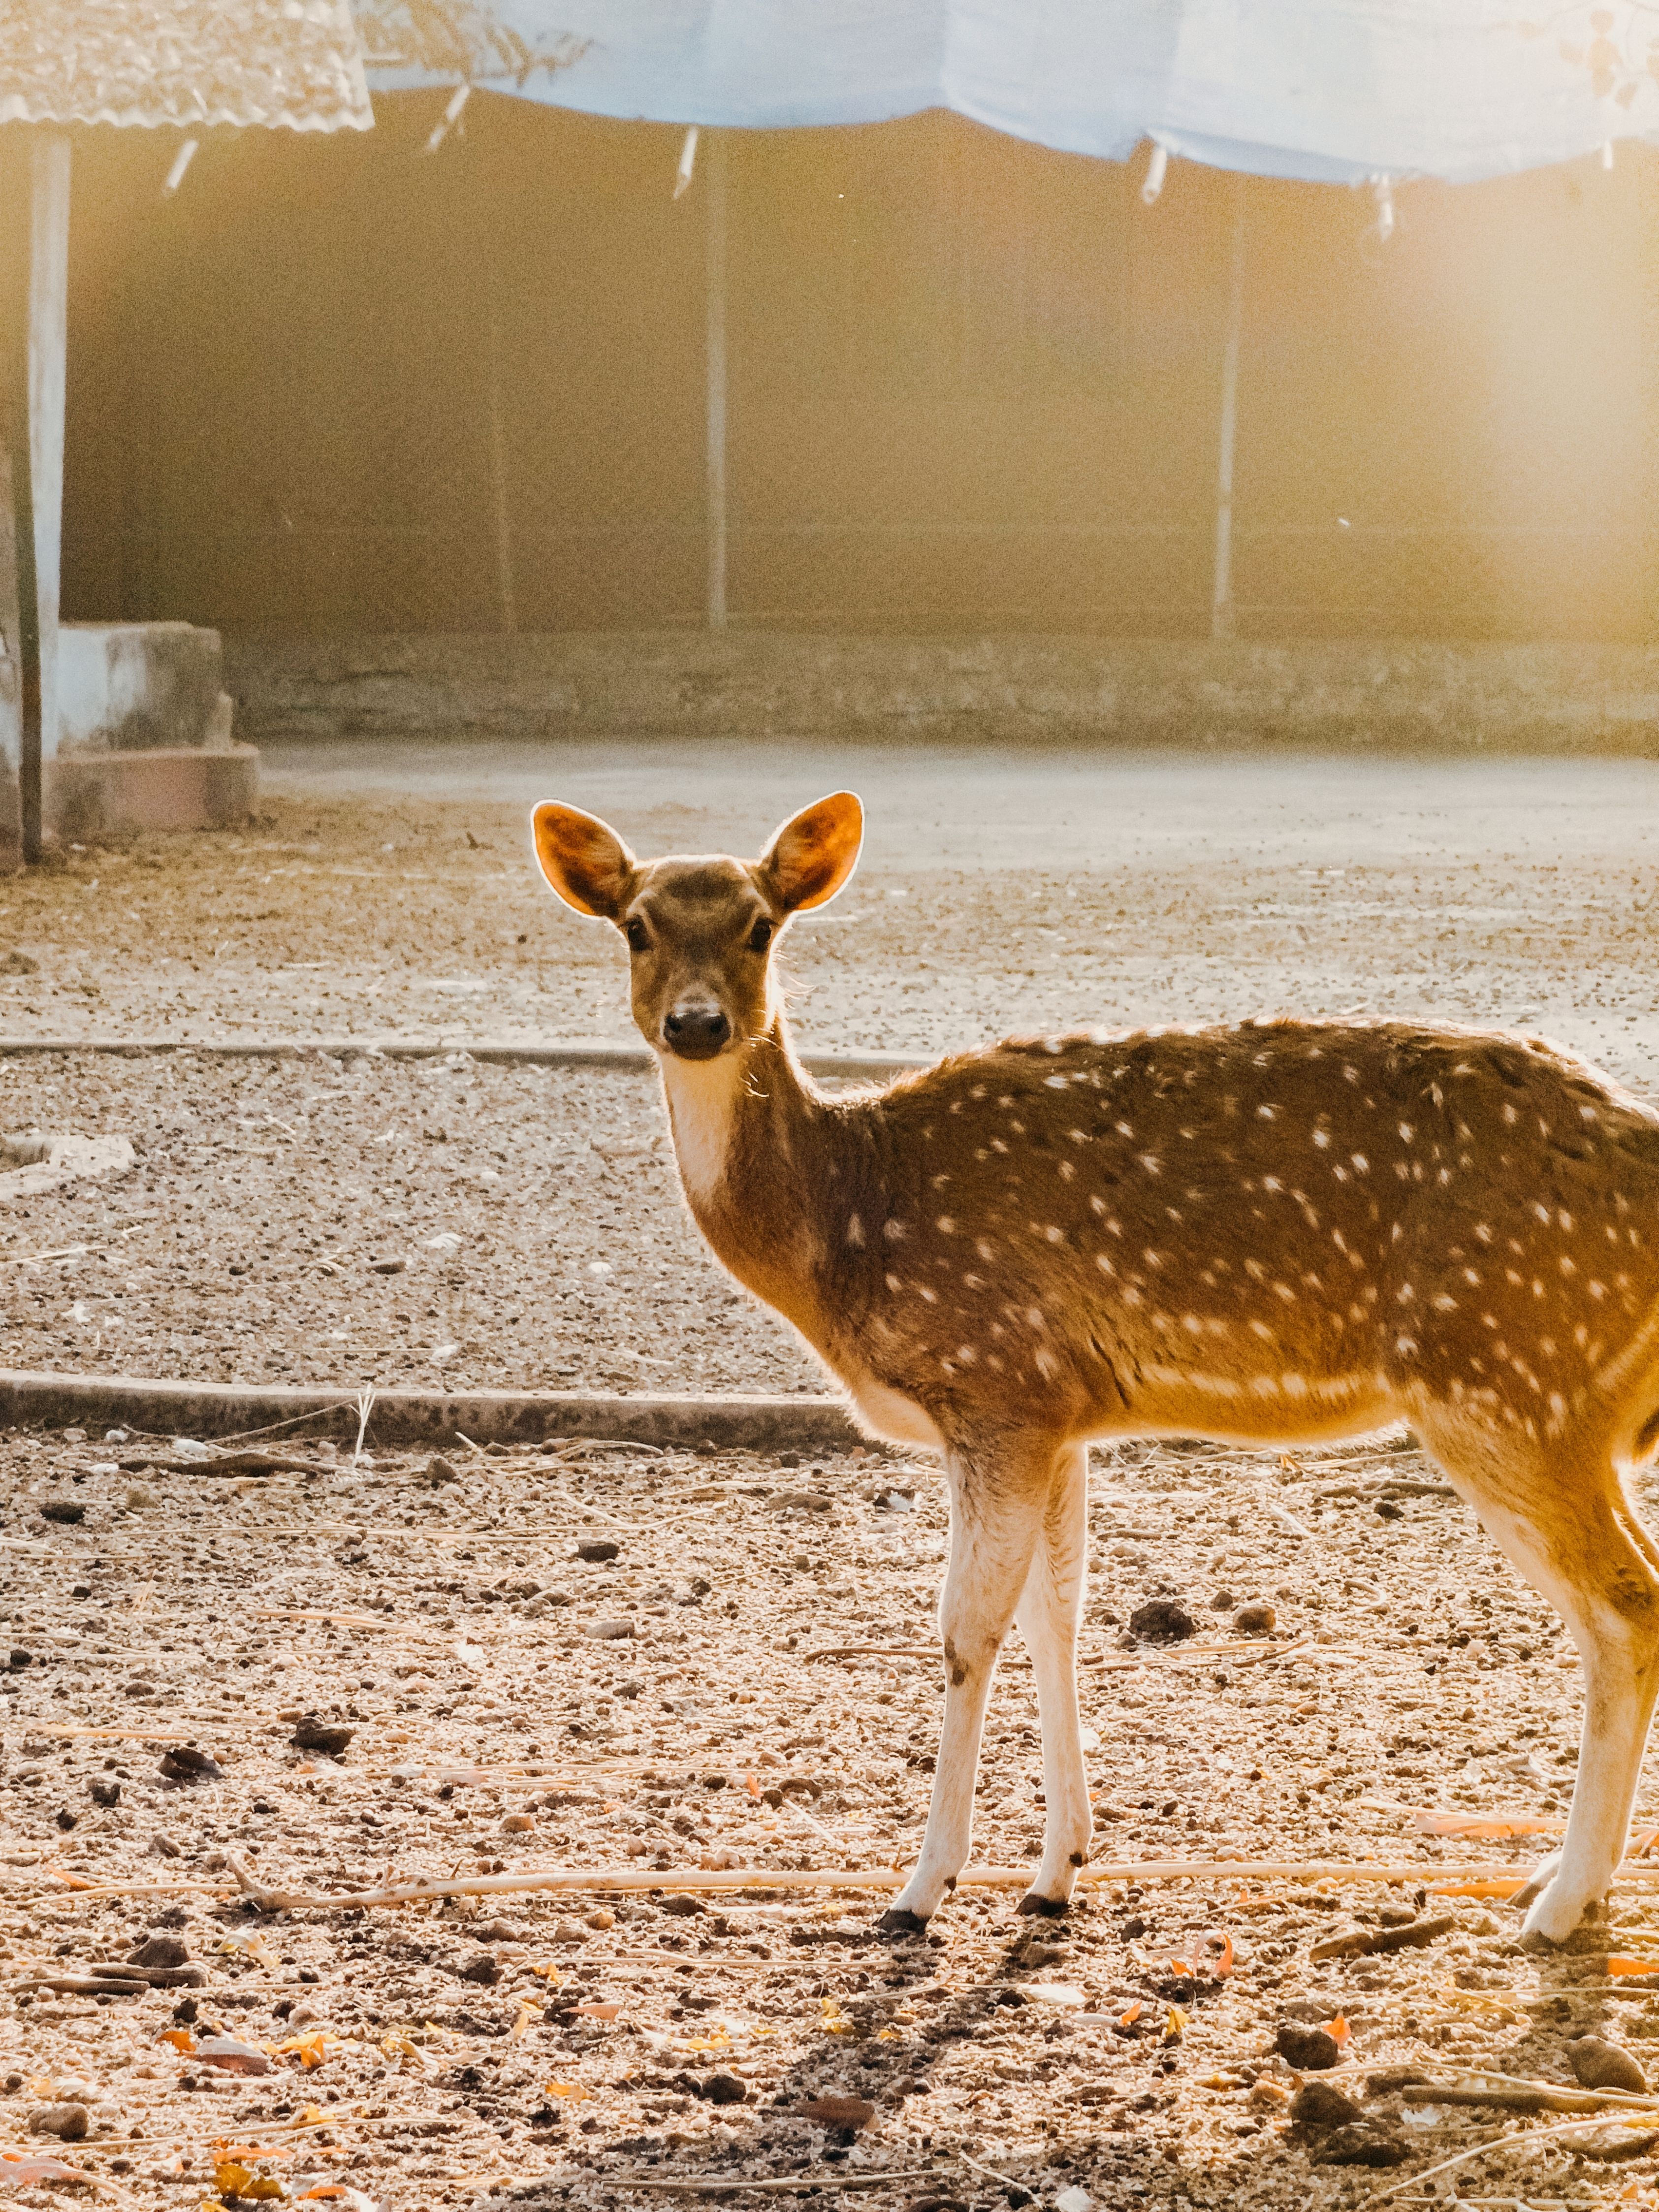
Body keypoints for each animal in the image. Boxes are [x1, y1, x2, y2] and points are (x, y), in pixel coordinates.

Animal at [531, 788, 1659, 1949]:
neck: (846, 1228)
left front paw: (920, 1888)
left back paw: (1558, 1901)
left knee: (1625, 1605)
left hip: (1509, 1375)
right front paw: (1057, 1869)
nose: (697, 1023)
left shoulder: (993, 1379)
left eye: (761, 925)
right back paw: (1555, 1879)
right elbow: (1056, 1615)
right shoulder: (1055, 1408)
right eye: (636, 926)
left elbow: (966, 1628)